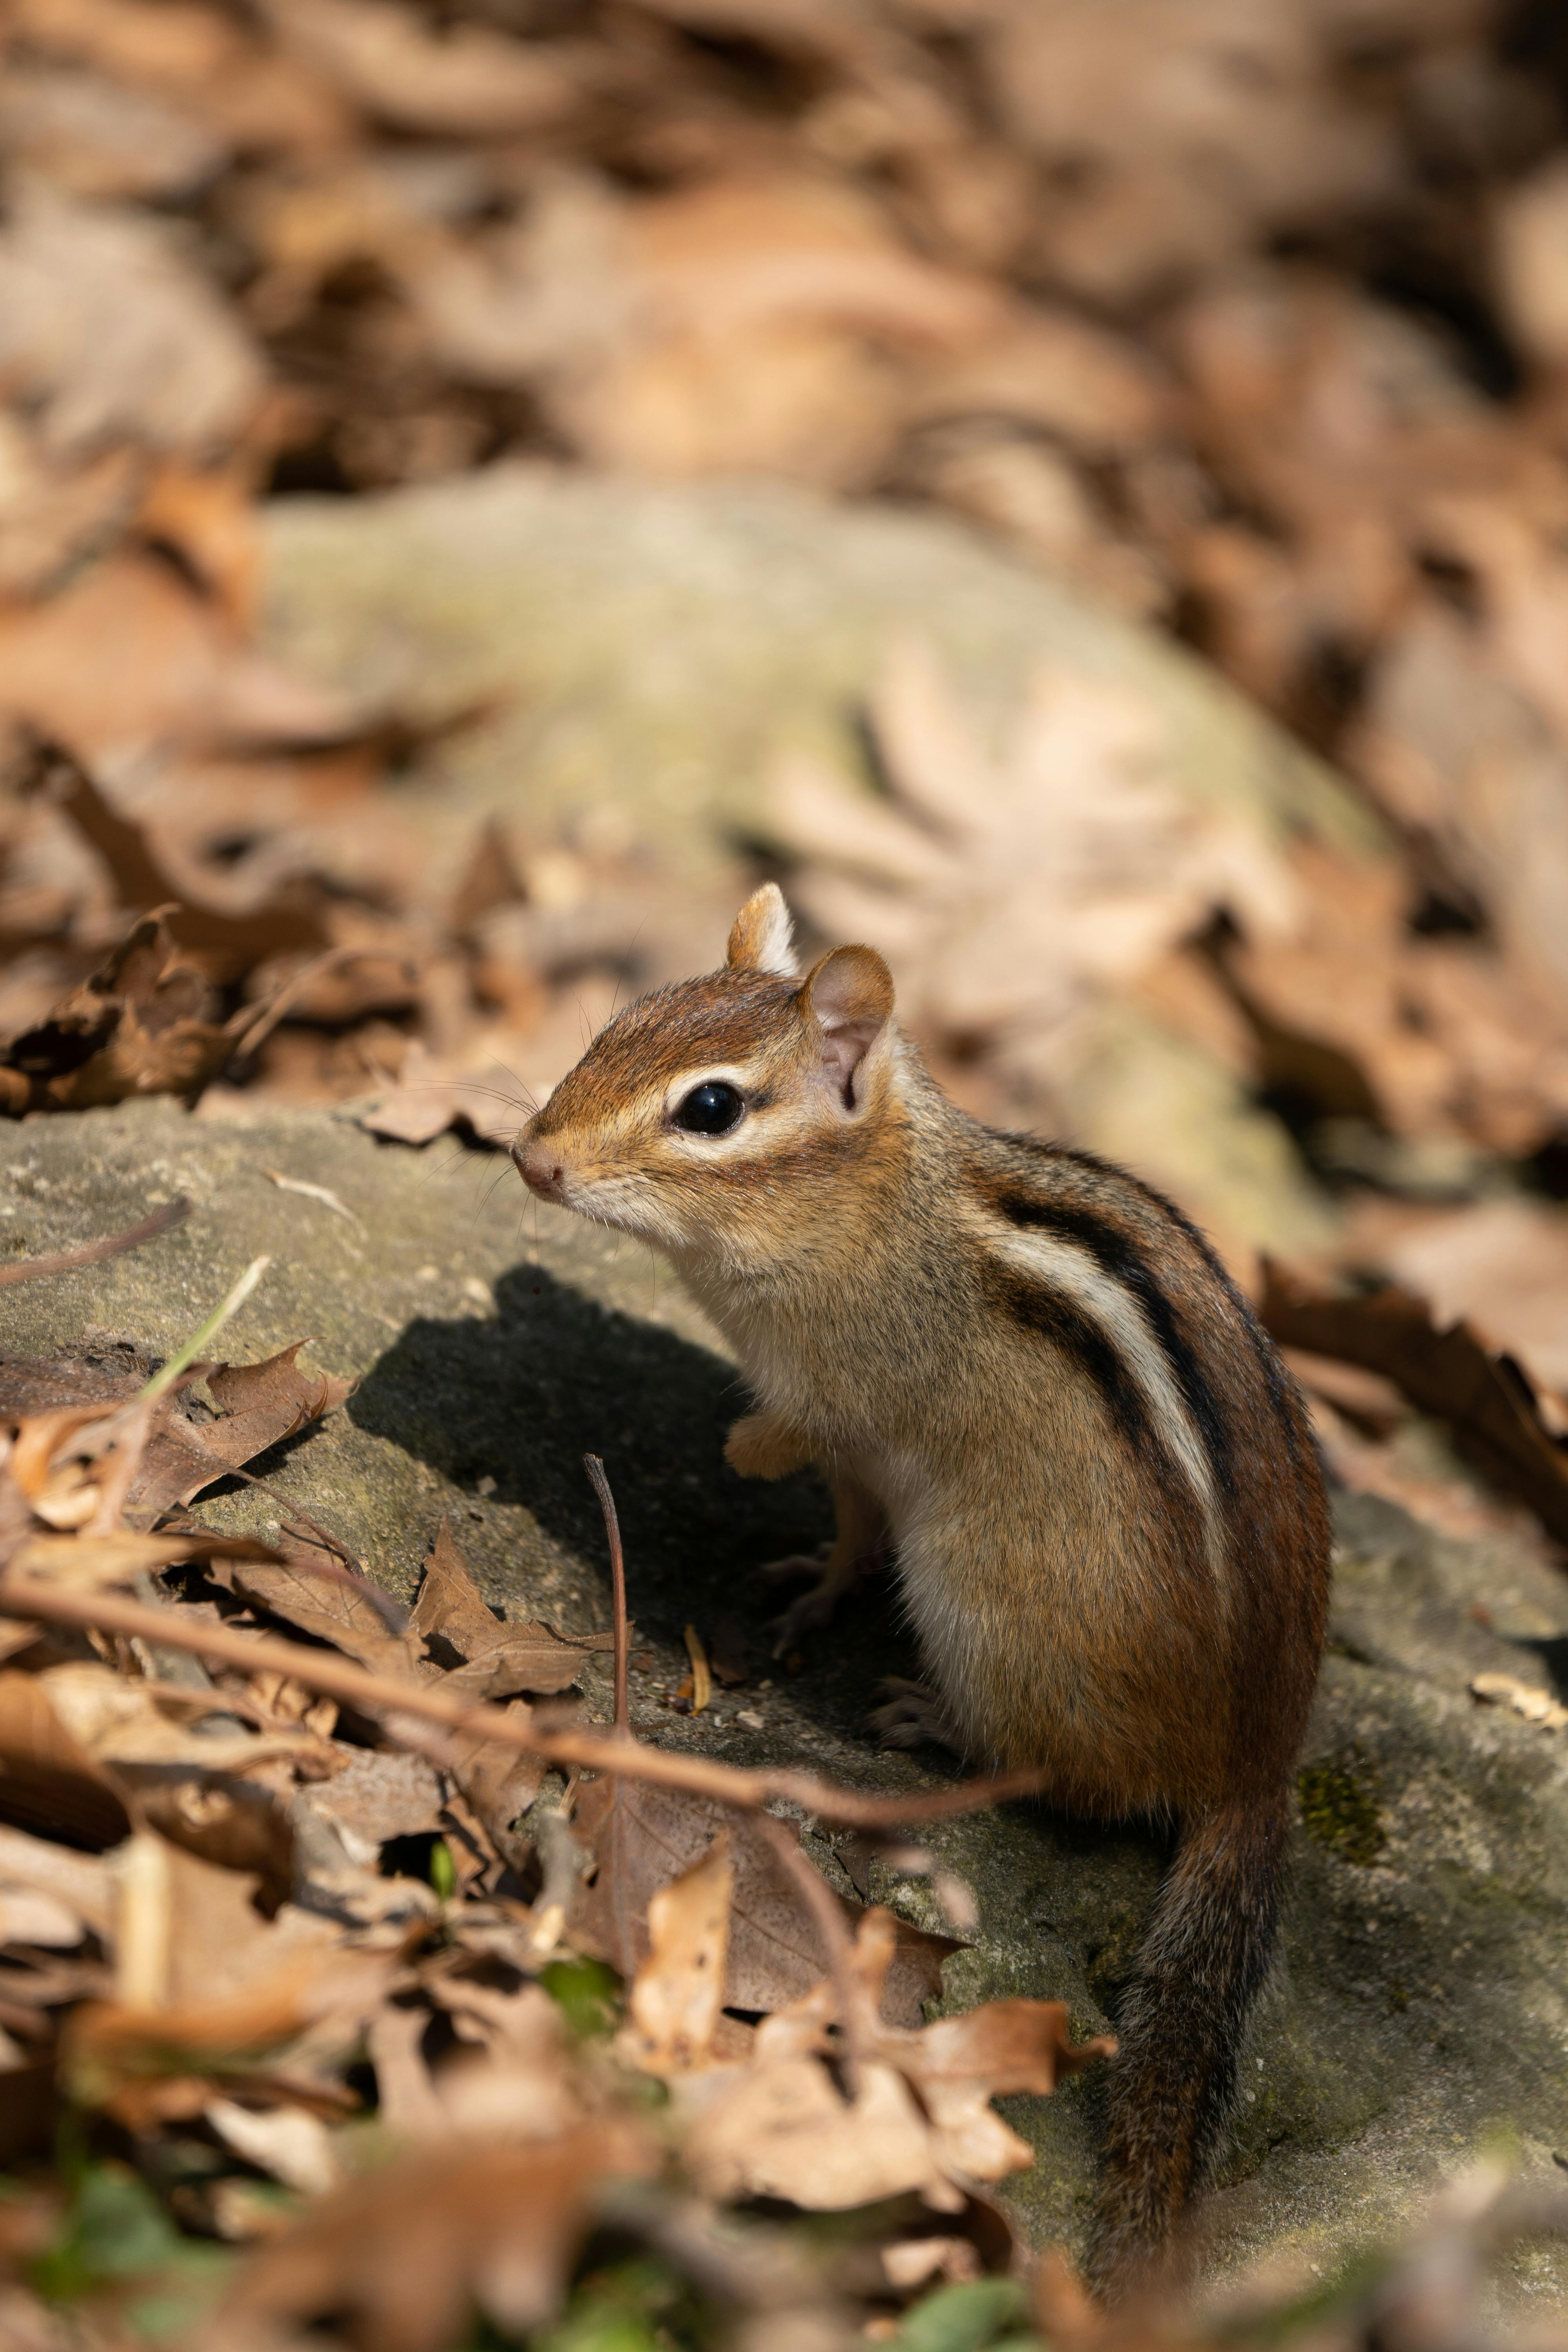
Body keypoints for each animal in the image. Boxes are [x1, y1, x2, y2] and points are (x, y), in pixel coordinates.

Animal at [512, 882, 1330, 2293]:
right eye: (618, 1024)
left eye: (711, 1109)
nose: (533, 1158)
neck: (871, 1192)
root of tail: (1254, 1762)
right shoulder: (854, 1451)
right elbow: (844, 1530)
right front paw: (806, 1587)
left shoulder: (852, 1402)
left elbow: (815, 1462)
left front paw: (758, 1488)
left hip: (988, 1609)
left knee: (1078, 1780)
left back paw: (932, 1724)